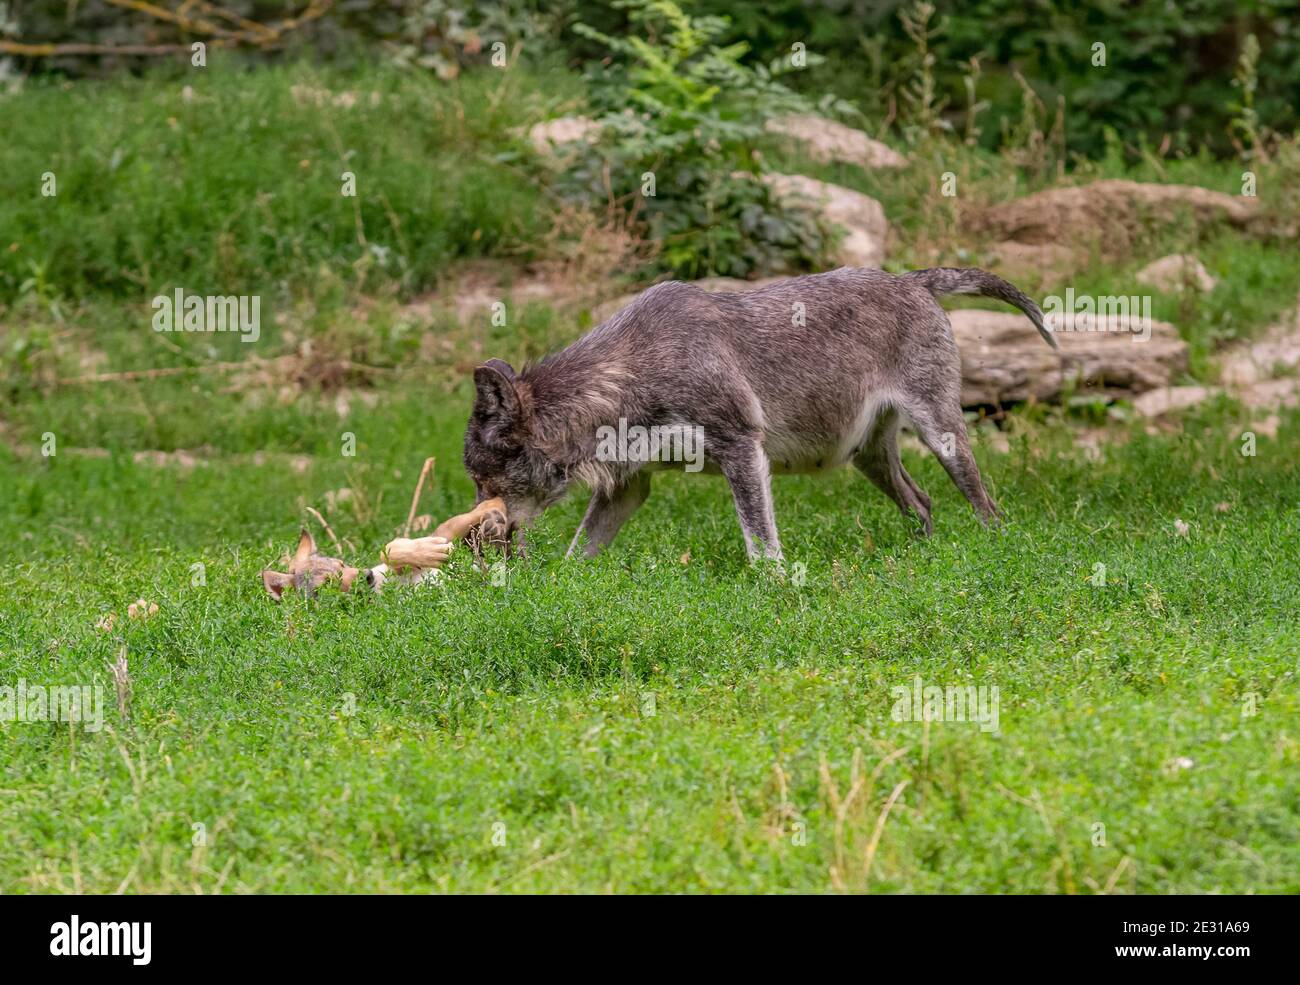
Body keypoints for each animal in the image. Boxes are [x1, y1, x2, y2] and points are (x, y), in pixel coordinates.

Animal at [463, 266, 1057, 561]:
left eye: (481, 480)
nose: (470, 539)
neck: (633, 370)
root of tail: (911, 279)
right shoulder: (629, 487)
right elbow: (576, 554)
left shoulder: (741, 449)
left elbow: (761, 546)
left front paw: (777, 592)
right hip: (869, 459)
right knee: (923, 503)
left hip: (943, 435)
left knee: (987, 508)